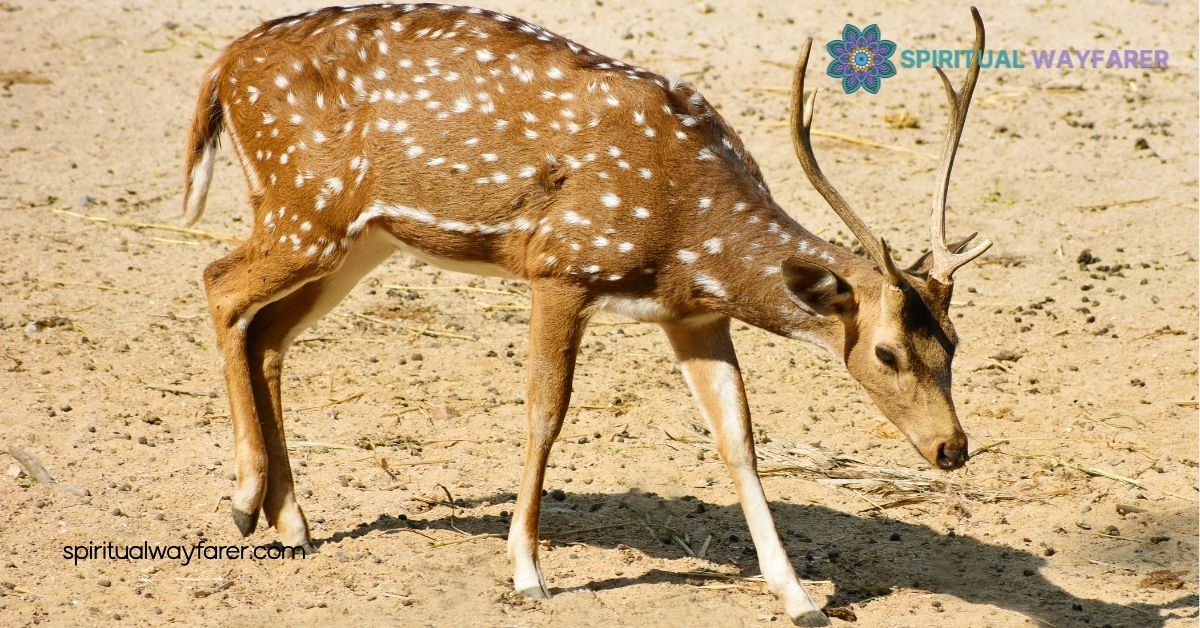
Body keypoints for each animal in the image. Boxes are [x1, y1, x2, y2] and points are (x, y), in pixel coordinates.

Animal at [181, 4, 991, 625]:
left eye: (954, 342)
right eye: (886, 352)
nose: (952, 448)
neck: (689, 230)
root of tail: (222, 66)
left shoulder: (692, 315)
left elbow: (739, 437)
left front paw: (798, 597)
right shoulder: (561, 265)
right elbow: (546, 410)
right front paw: (527, 571)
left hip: (356, 238)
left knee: (269, 332)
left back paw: (292, 523)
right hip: (304, 209)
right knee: (219, 282)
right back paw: (245, 501)